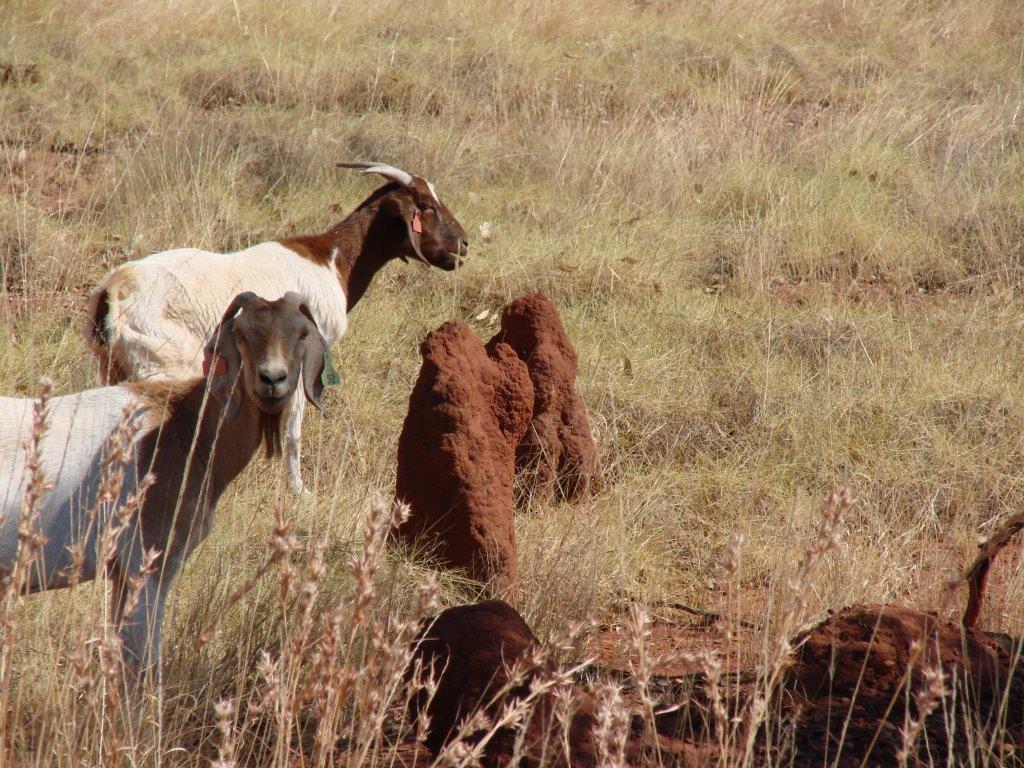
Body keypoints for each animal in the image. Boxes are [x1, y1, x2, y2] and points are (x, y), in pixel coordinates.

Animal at [1, 292, 331, 675]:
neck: (186, 427)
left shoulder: (120, 577)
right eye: (242, 334)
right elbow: (144, 667)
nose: (272, 379)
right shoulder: (147, 567)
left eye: (302, 334)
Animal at [85, 162, 468, 494]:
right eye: (426, 206)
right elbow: (293, 428)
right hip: (163, 363)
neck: (330, 259)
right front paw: (300, 491)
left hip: (114, 366)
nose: (463, 245)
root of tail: (112, 292)